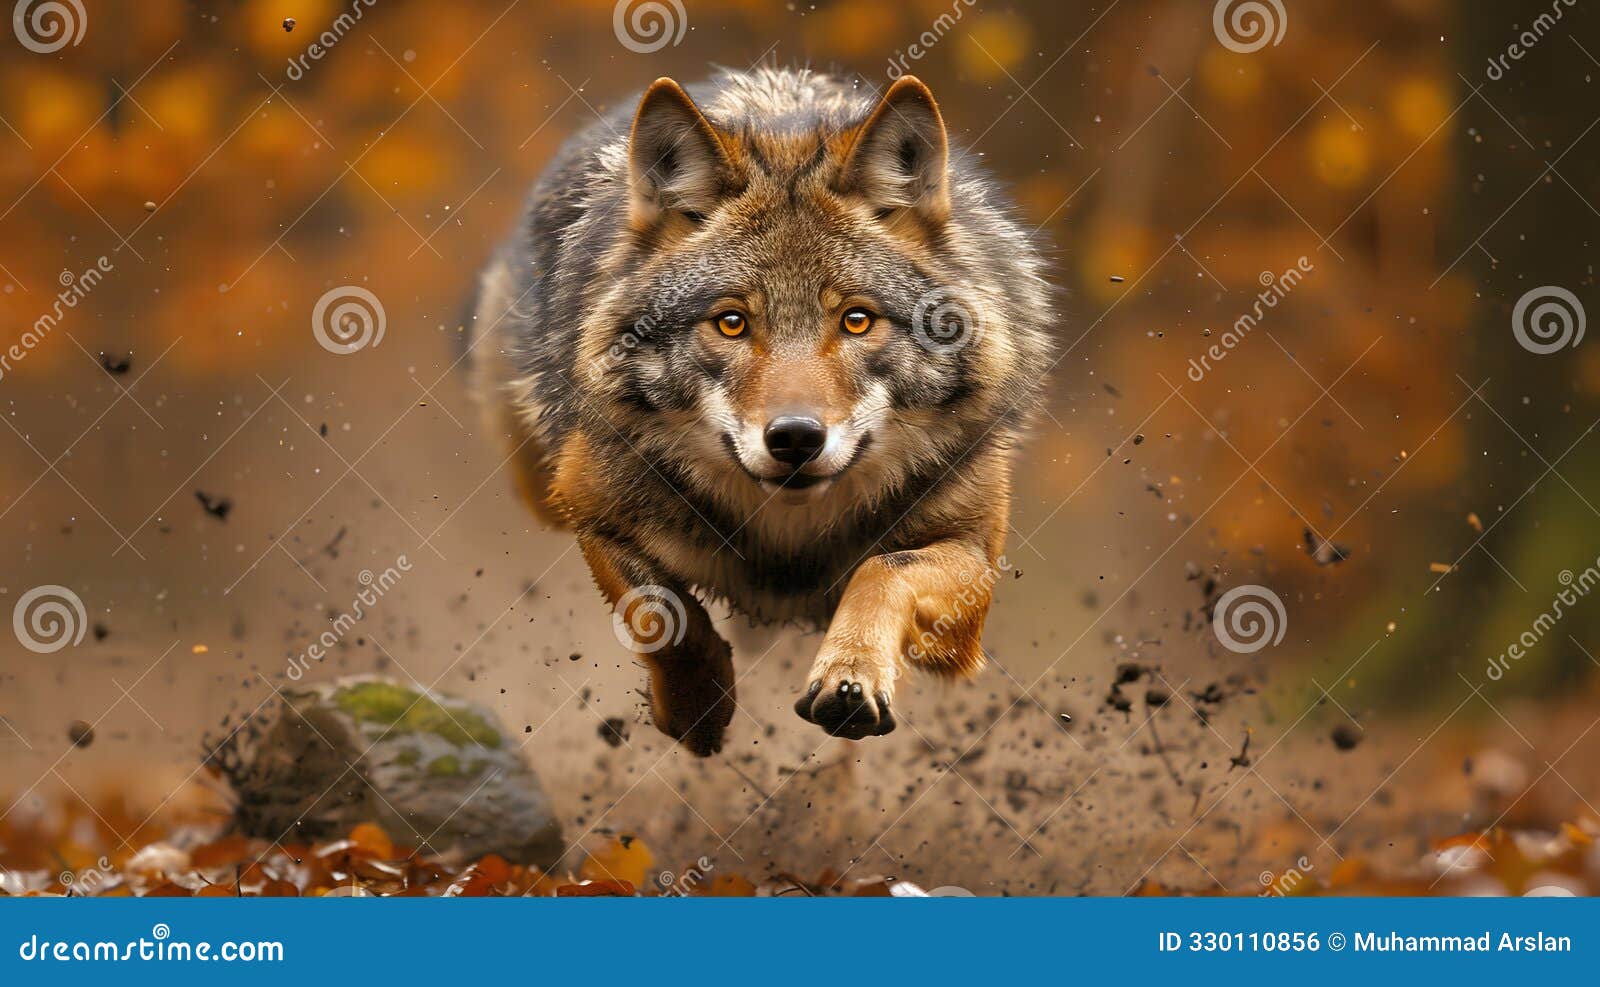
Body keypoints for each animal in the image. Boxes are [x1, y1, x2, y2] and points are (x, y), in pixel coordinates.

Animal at [467, 67, 1051, 755]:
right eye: (731, 322)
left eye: (857, 320)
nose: (796, 438)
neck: (788, 539)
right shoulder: (590, 510)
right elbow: (662, 610)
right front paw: (696, 711)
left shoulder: (971, 567)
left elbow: (884, 569)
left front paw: (849, 677)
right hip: (536, 482)